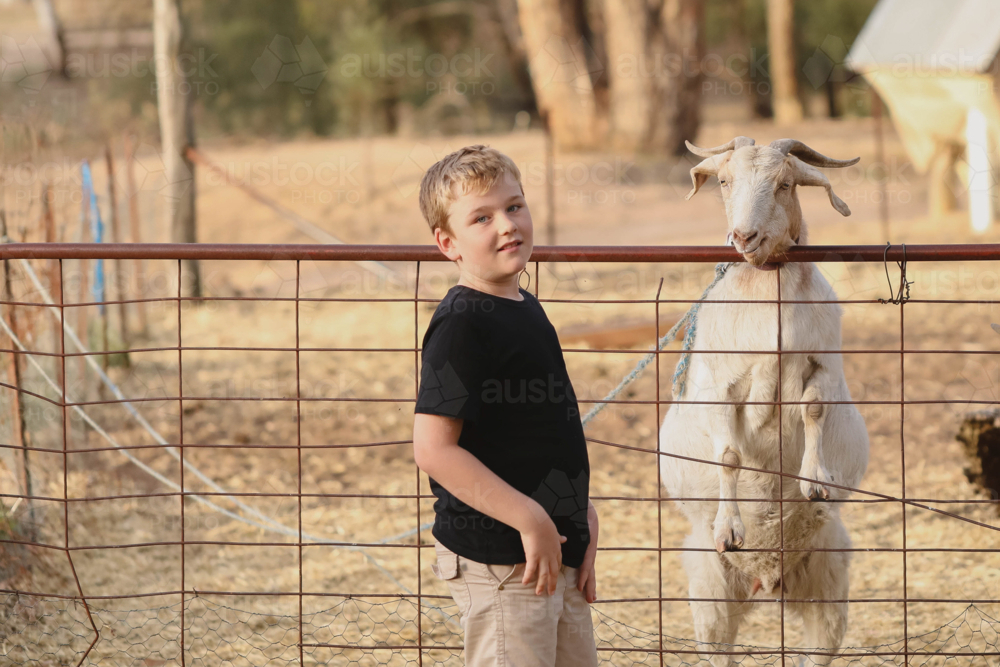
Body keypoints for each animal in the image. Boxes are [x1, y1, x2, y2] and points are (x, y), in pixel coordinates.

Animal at [658, 137, 870, 666]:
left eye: (786, 183)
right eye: (724, 181)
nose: (744, 237)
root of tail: (768, 579)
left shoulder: (821, 363)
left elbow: (814, 409)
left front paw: (814, 480)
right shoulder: (721, 386)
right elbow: (730, 455)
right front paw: (731, 528)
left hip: (829, 572)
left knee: (818, 647)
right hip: (709, 586)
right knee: (718, 650)